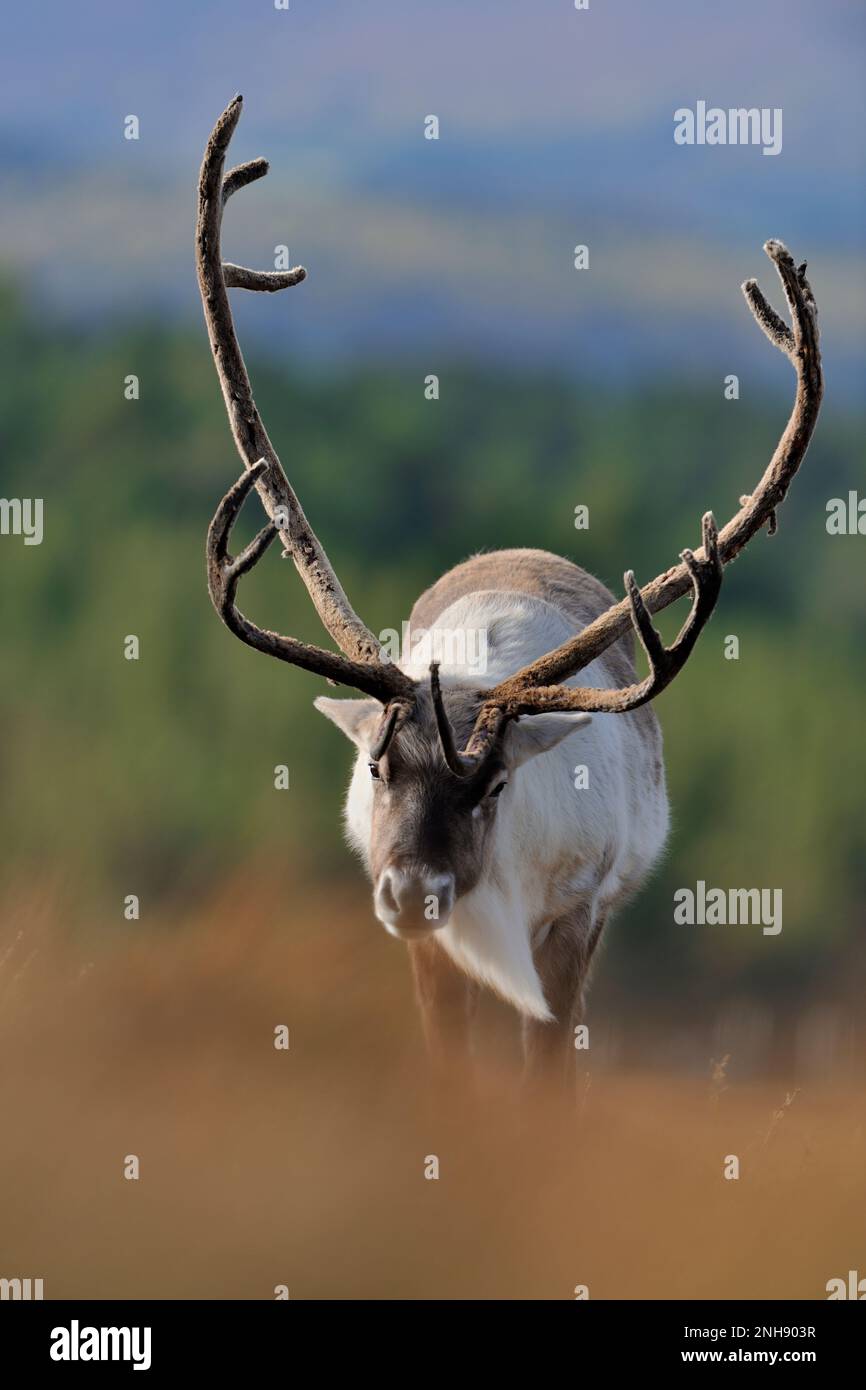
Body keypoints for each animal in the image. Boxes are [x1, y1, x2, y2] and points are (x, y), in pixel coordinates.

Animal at [196, 97, 822, 1080]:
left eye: (492, 786)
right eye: (377, 767)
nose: (413, 894)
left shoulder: (575, 920)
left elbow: (548, 1078)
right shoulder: (429, 948)